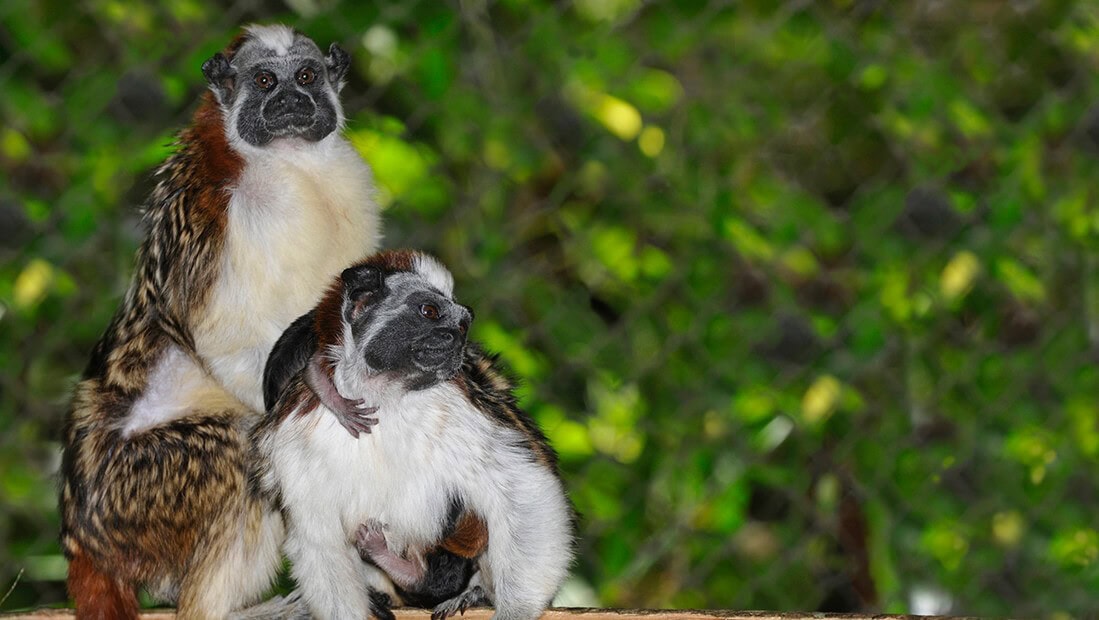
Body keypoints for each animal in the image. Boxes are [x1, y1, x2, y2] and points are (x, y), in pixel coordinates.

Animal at [58, 24, 381, 619]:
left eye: (306, 77)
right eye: (265, 81)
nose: (290, 102)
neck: (291, 167)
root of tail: (82, 537)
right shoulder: (219, 219)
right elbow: (223, 340)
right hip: (135, 498)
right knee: (236, 445)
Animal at [253, 250, 575, 620]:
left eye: (462, 326)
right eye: (429, 312)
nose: (454, 338)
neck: (383, 401)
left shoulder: (460, 410)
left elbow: (521, 486)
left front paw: (514, 611)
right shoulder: (295, 440)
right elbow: (319, 538)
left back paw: (470, 591)